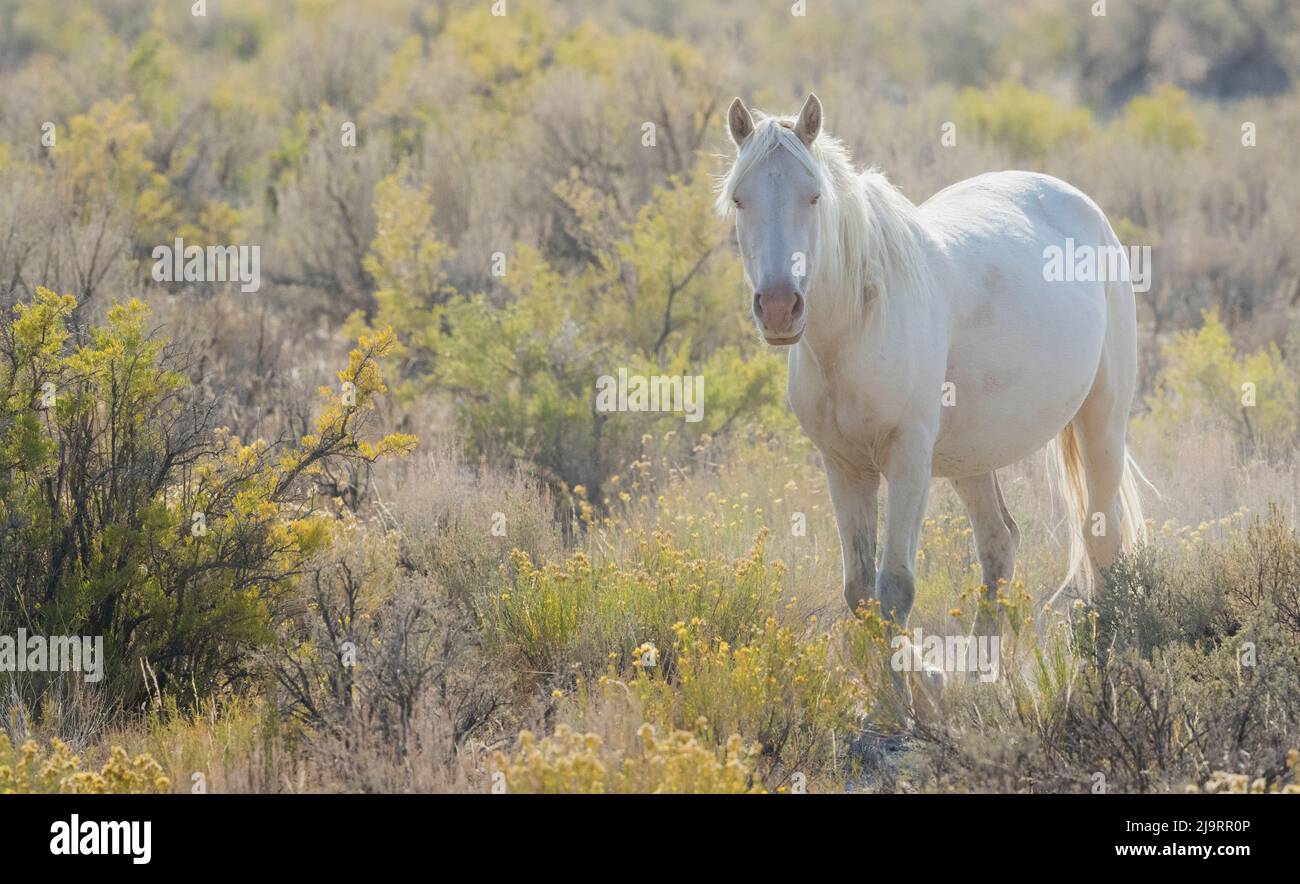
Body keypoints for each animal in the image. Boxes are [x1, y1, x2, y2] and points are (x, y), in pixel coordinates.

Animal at [717, 93, 1147, 636]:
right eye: (739, 200)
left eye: (813, 197)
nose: (778, 308)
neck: (855, 329)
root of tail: (1083, 207)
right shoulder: (843, 465)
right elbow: (859, 591)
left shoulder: (908, 459)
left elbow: (895, 590)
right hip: (974, 457)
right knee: (999, 542)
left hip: (1102, 425)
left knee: (1102, 542)